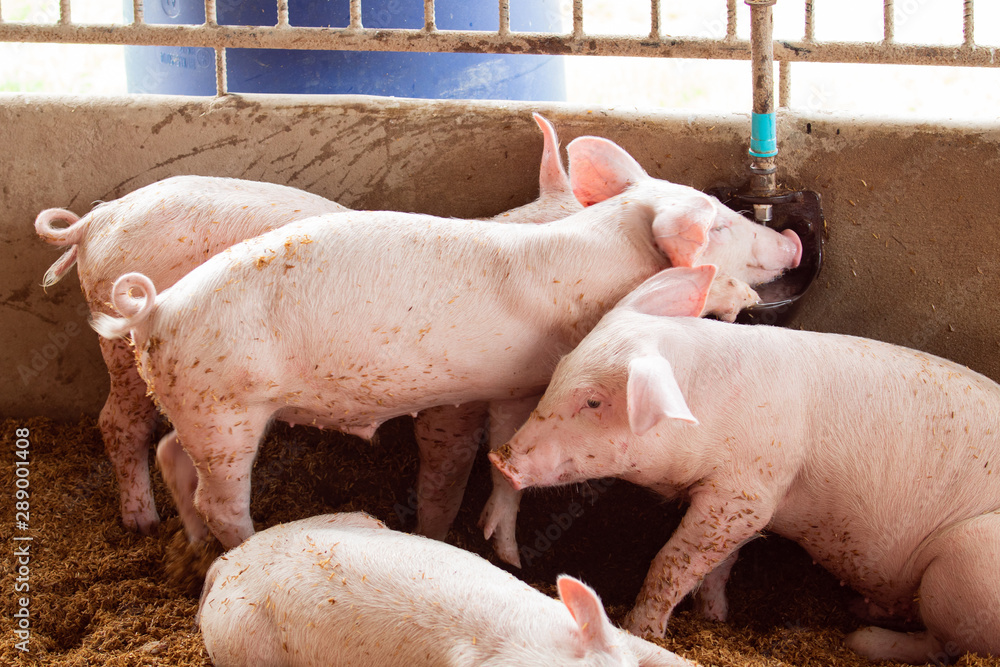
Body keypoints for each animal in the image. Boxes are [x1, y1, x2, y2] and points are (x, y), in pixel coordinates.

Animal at [35, 113, 577, 536]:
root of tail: (95, 222)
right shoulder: (451, 398)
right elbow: (447, 472)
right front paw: (437, 536)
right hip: (132, 354)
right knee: (120, 424)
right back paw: (143, 524)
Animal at [89, 136, 801, 552]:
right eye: (723, 224)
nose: (791, 240)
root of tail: (153, 311)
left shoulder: (519, 385)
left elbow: (503, 456)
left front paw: (502, 547)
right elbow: (458, 467)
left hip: (202, 410)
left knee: (173, 455)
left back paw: (190, 548)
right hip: (225, 409)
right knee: (212, 493)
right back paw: (231, 546)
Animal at [492, 264, 1000, 664]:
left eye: (594, 402)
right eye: (559, 371)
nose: (501, 460)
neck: (703, 411)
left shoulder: (747, 492)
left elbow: (673, 560)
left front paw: (642, 631)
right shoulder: (736, 500)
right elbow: (719, 562)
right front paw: (714, 618)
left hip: (965, 562)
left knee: (943, 643)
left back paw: (861, 637)